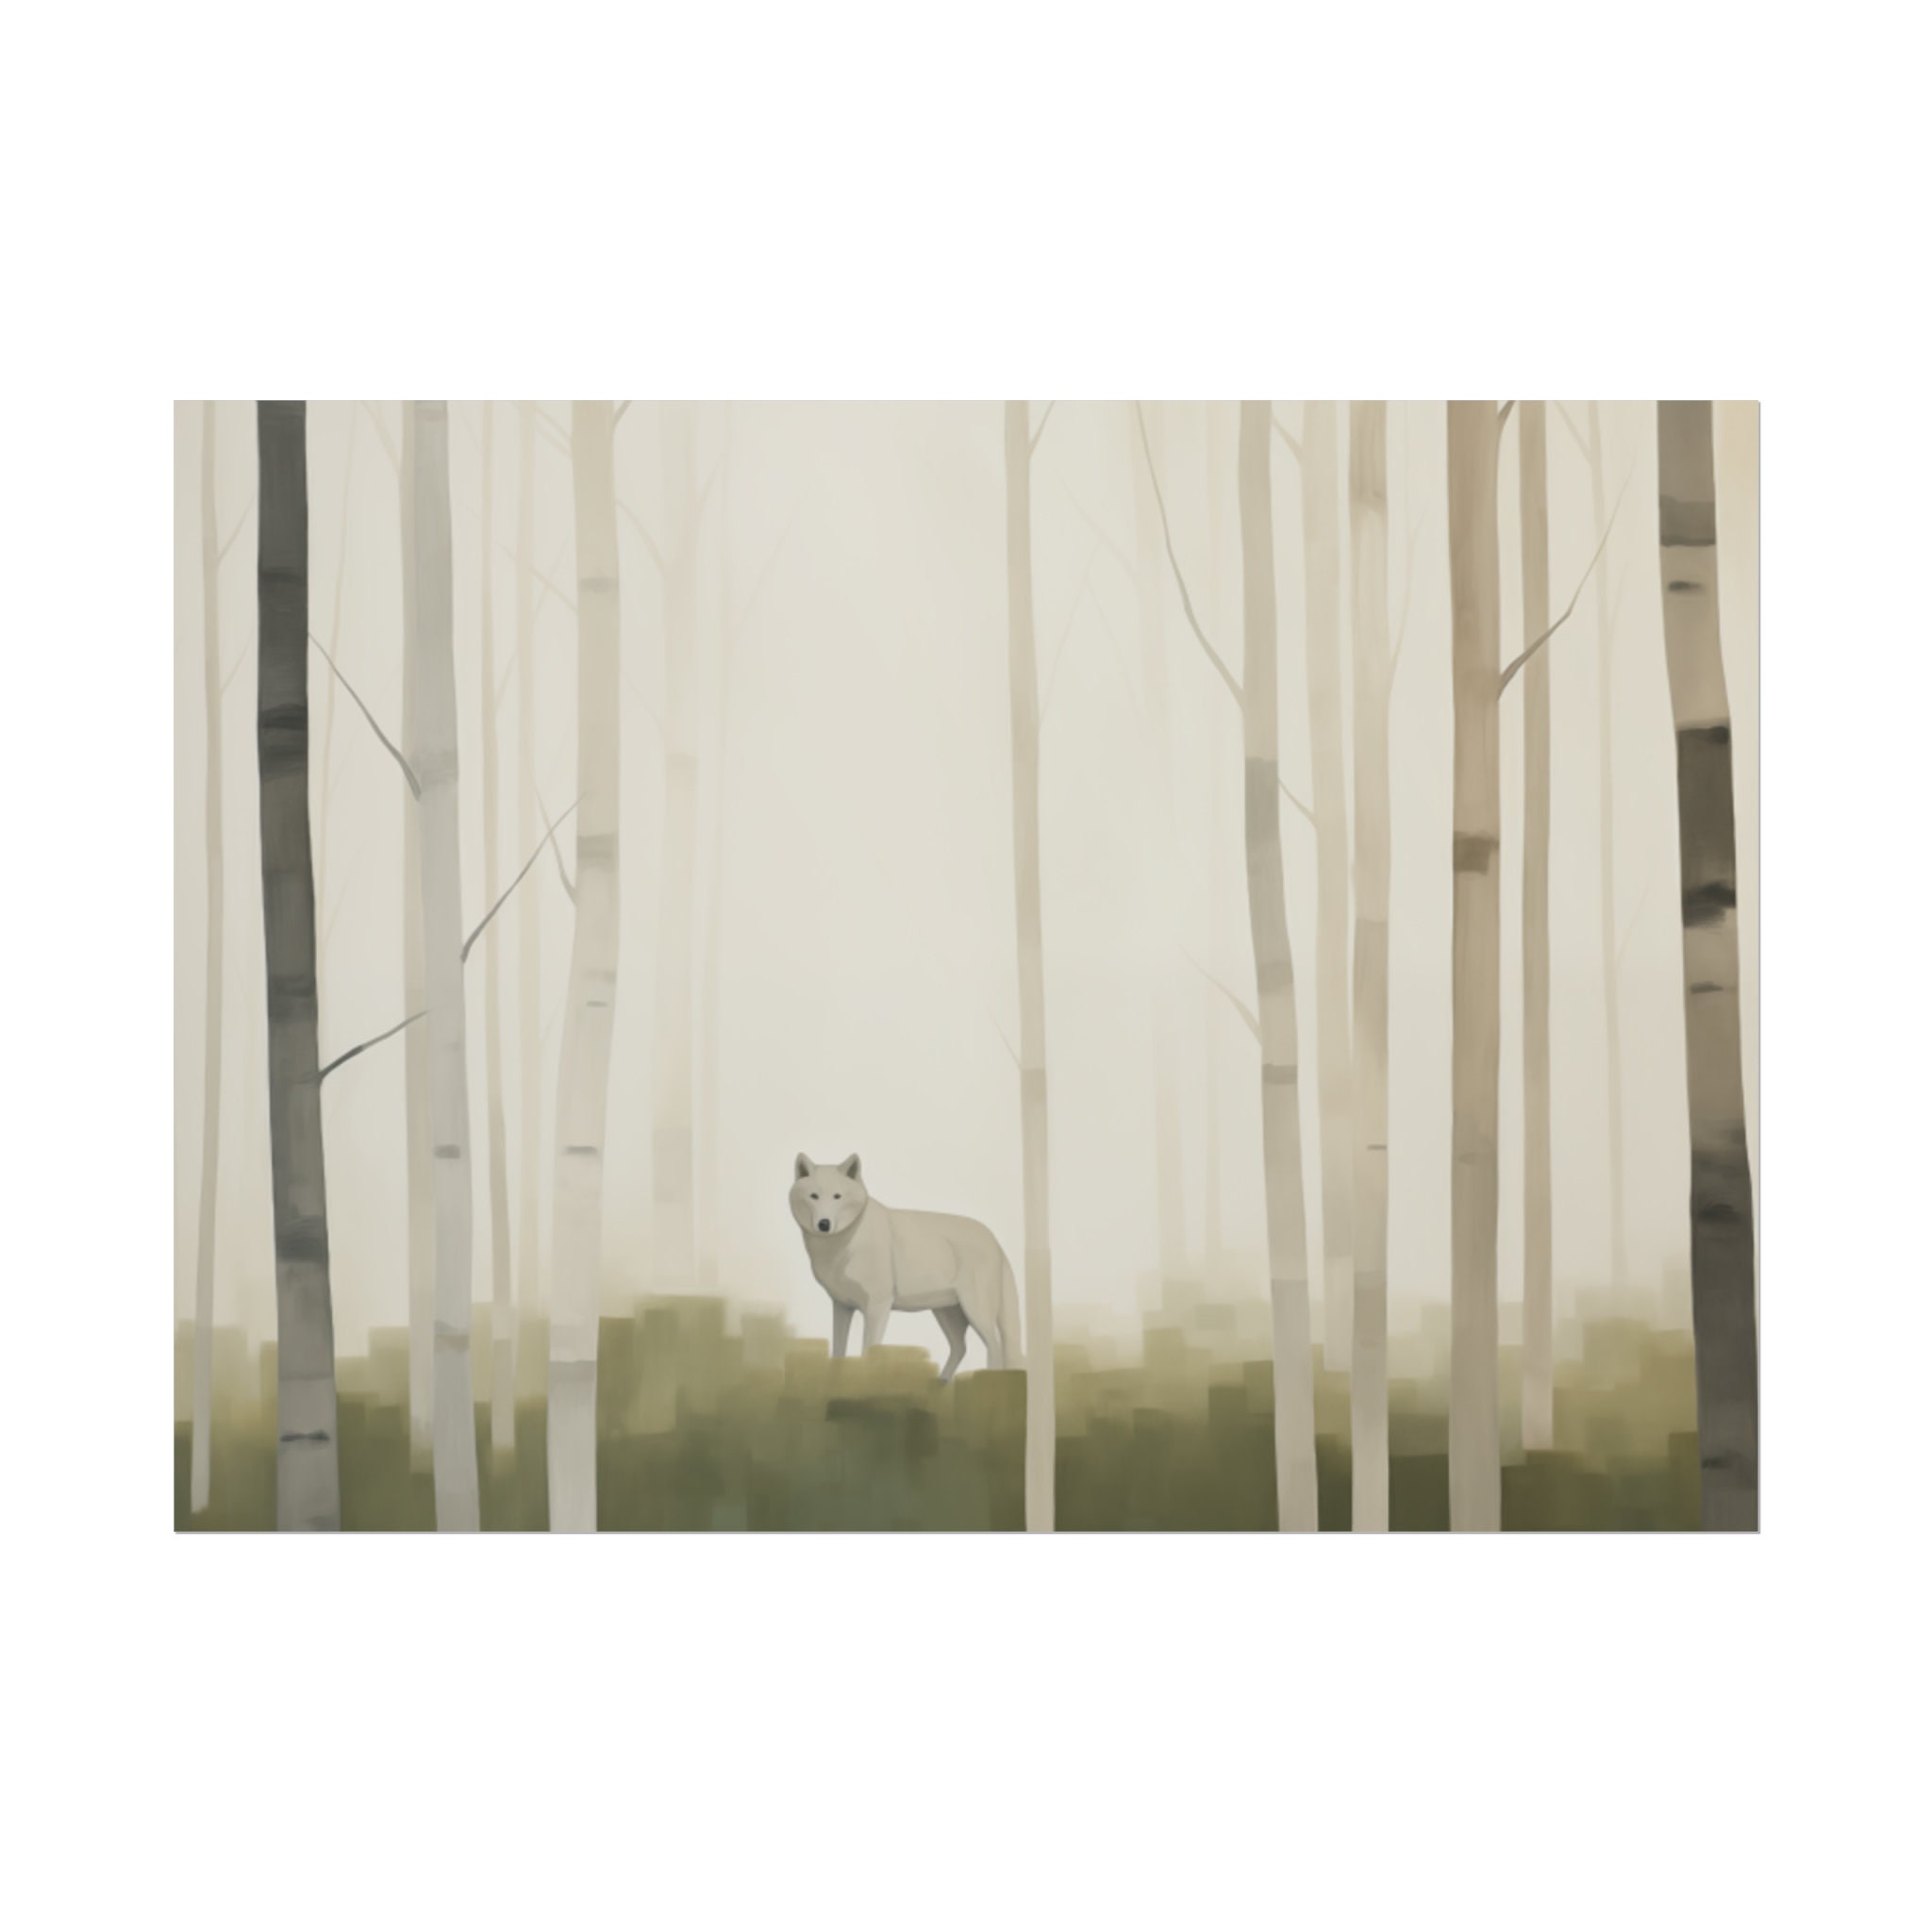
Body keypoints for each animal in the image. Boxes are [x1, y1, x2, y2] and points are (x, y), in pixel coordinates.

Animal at [789, 1153, 1022, 1381]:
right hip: (946, 1313)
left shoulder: (878, 1306)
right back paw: (941, 1383)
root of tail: (994, 1239)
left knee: (995, 1346)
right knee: (960, 1347)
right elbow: (838, 1352)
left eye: (837, 1196)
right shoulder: (841, 1306)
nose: (824, 1224)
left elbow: (868, 1351)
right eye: (814, 1196)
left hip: (975, 1311)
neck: (845, 1244)